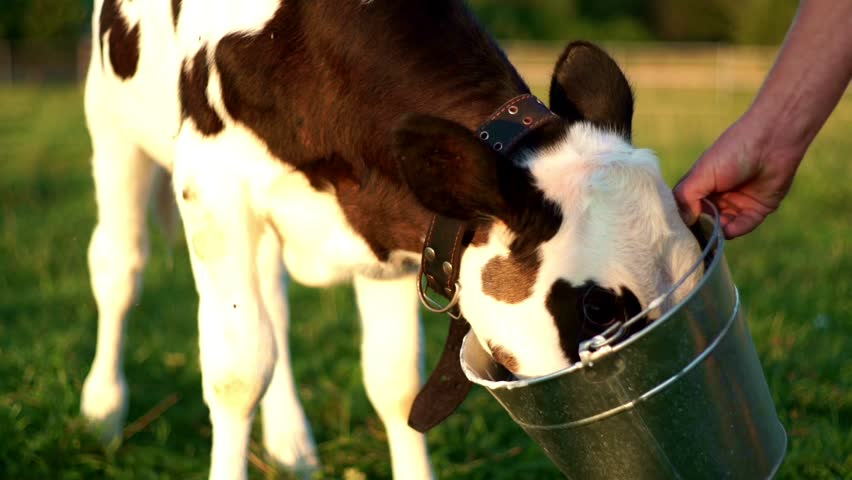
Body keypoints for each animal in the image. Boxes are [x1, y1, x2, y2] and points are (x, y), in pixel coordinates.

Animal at [80, 0, 703, 479]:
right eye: (596, 308)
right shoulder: (213, 191)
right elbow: (239, 371)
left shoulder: (392, 238)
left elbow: (395, 384)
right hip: (110, 125)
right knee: (119, 268)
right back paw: (102, 412)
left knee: (274, 305)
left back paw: (290, 444)